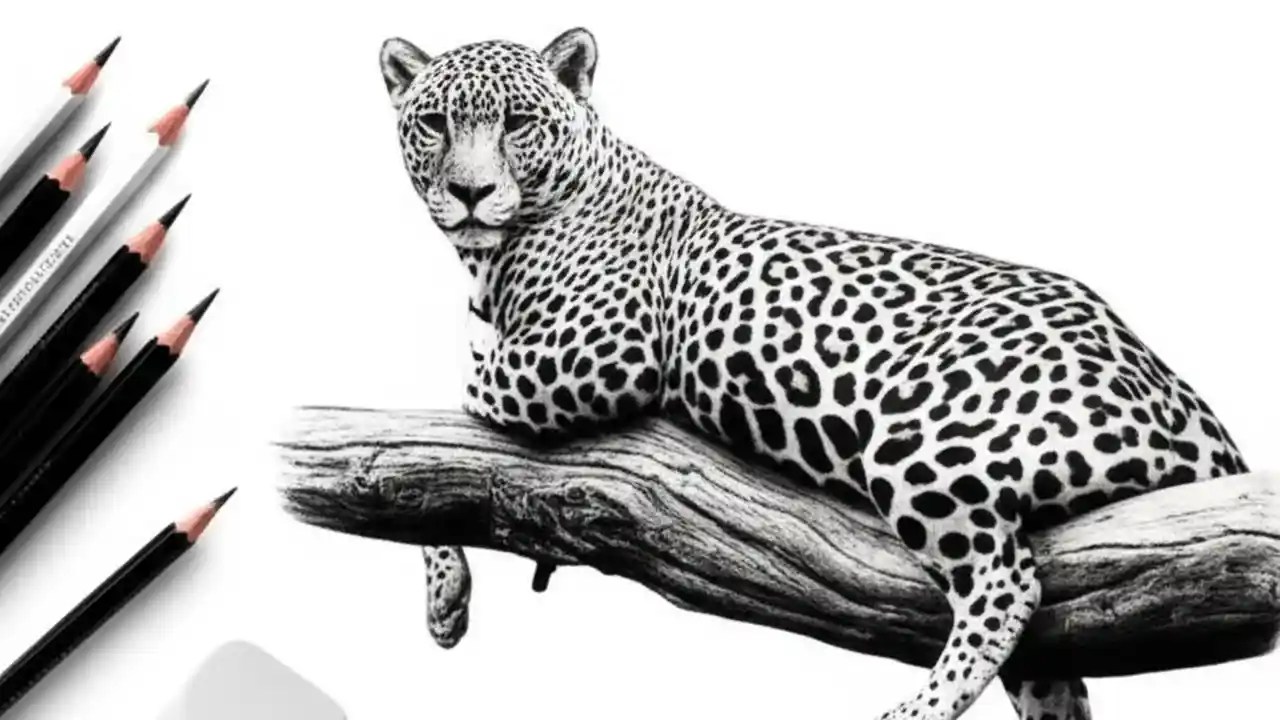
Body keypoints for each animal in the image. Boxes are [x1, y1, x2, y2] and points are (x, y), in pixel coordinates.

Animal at [379, 28, 1248, 720]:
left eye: (519, 123)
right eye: (435, 123)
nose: (468, 192)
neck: (488, 262)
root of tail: (1197, 414)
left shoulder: (593, 355)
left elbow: (454, 409)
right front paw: (446, 602)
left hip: (920, 446)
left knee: (1004, 587)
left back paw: (912, 712)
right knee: (1052, 672)